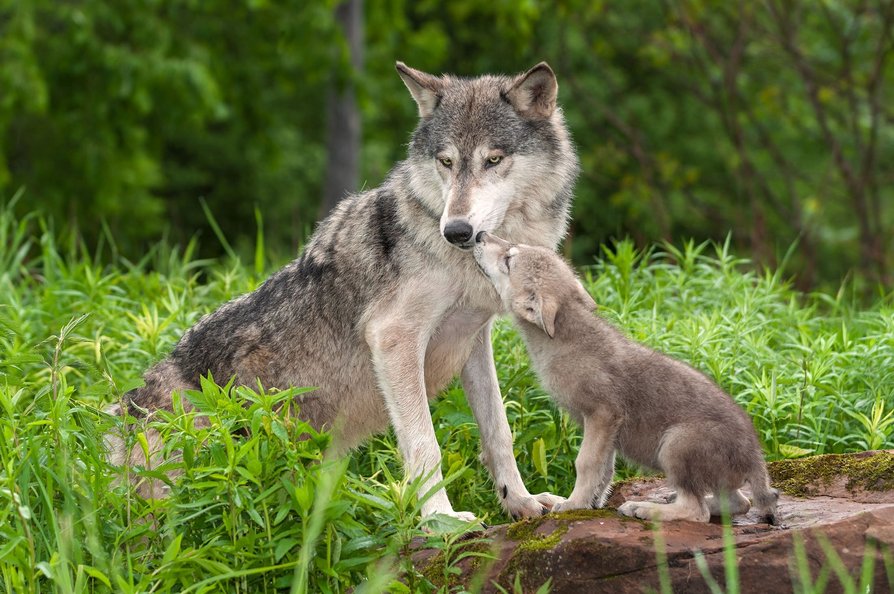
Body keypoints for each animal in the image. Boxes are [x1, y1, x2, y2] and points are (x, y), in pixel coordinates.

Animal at [106, 62, 579, 521]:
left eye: (493, 159)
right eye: (446, 161)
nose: (456, 231)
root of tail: (118, 422)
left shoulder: (474, 338)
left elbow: (498, 430)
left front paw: (520, 501)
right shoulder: (394, 338)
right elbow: (425, 445)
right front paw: (441, 521)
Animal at [473, 233, 779, 524]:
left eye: (509, 259)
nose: (479, 235)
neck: (564, 340)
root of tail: (755, 456)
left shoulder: (602, 414)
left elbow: (585, 463)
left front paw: (573, 504)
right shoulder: (606, 428)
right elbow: (605, 470)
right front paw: (592, 502)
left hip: (674, 445)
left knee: (698, 510)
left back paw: (643, 508)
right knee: (740, 503)